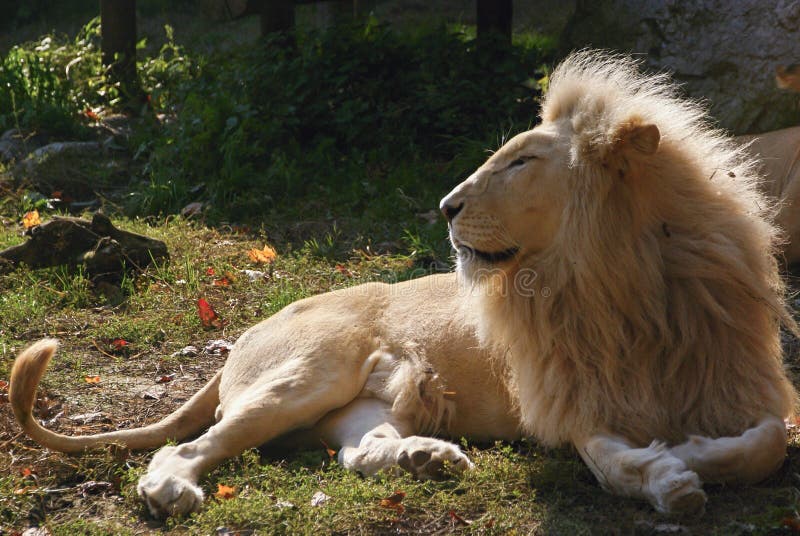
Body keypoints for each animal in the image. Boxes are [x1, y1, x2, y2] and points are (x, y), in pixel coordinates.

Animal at [10, 51, 797, 519]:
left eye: (521, 162)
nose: (445, 205)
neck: (624, 283)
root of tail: (252, 329)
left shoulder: (741, 384)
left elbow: (763, 446)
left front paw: (689, 455)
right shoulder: (573, 400)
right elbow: (613, 465)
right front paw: (670, 475)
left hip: (362, 403)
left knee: (358, 451)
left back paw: (426, 458)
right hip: (311, 371)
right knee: (186, 447)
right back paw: (172, 489)